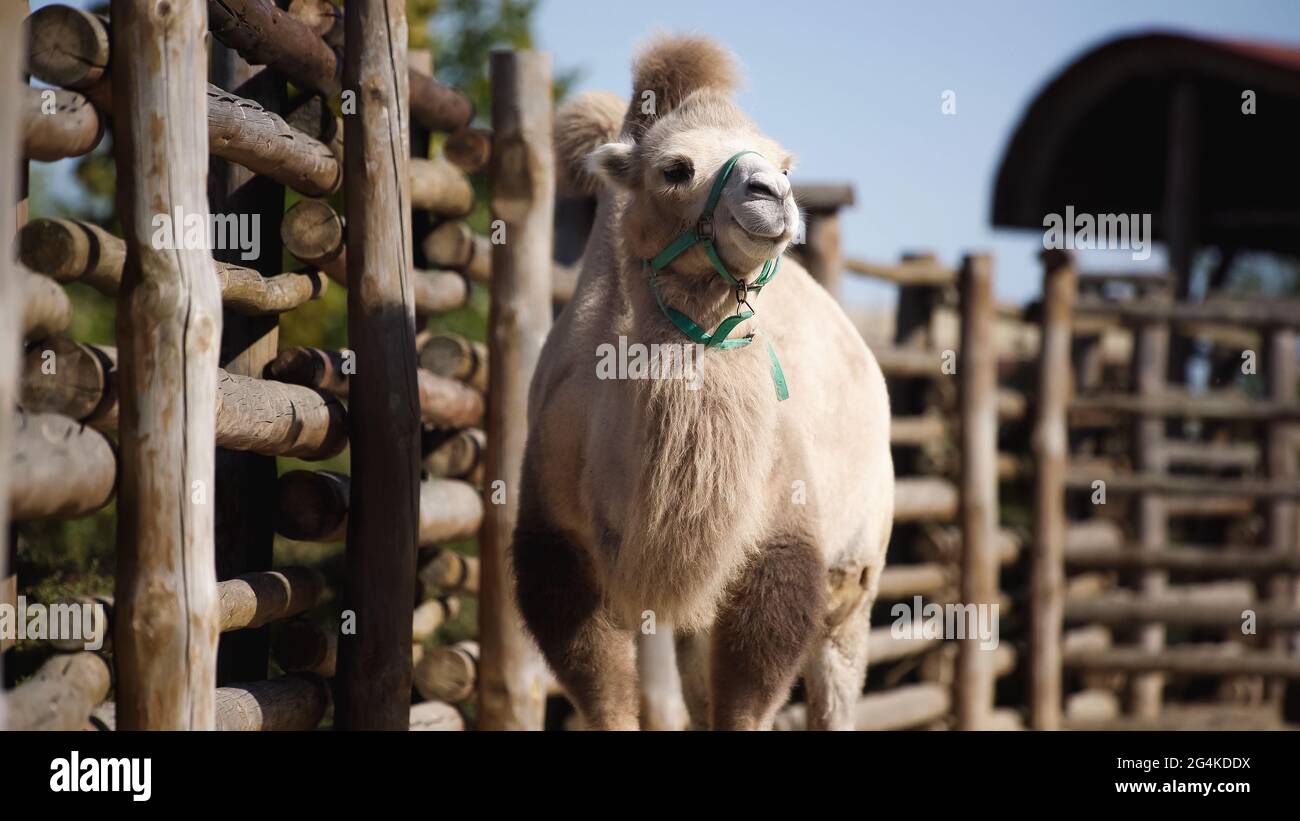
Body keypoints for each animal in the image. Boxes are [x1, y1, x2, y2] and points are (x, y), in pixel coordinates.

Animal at [512, 34, 894, 730]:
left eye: (785, 164)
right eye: (675, 169)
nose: (773, 194)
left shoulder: (780, 540)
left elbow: (749, 696)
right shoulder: (557, 543)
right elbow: (604, 691)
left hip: (856, 569)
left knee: (837, 672)